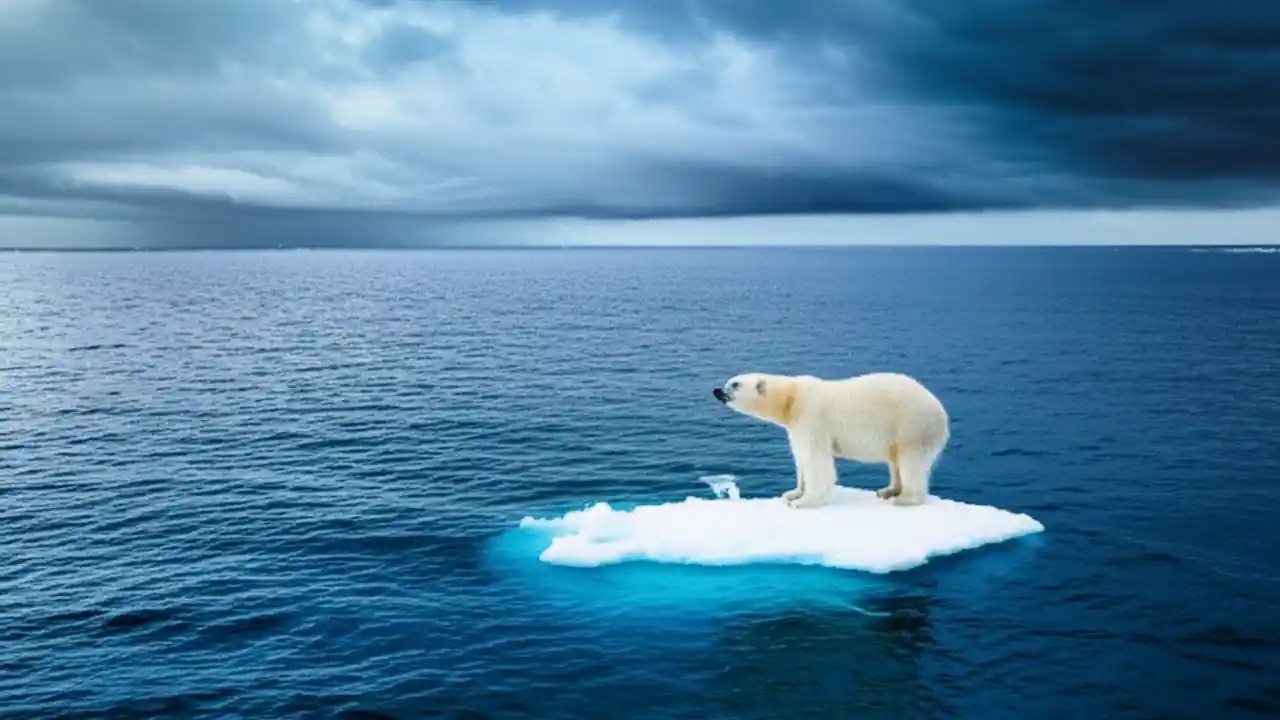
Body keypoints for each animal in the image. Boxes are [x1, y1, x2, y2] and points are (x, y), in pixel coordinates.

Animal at [713, 372, 949, 509]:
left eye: (734, 384)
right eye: (728, 382)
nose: (716, 390)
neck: (791, 399)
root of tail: (941, 411)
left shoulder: (811, 416)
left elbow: (815, 459)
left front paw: (804, 502)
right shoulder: (795, 425)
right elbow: (801, 457)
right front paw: (792, 493)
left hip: (911, 426)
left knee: (911, 462)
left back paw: (904, 498)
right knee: (895, 460)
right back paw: (888, 490)